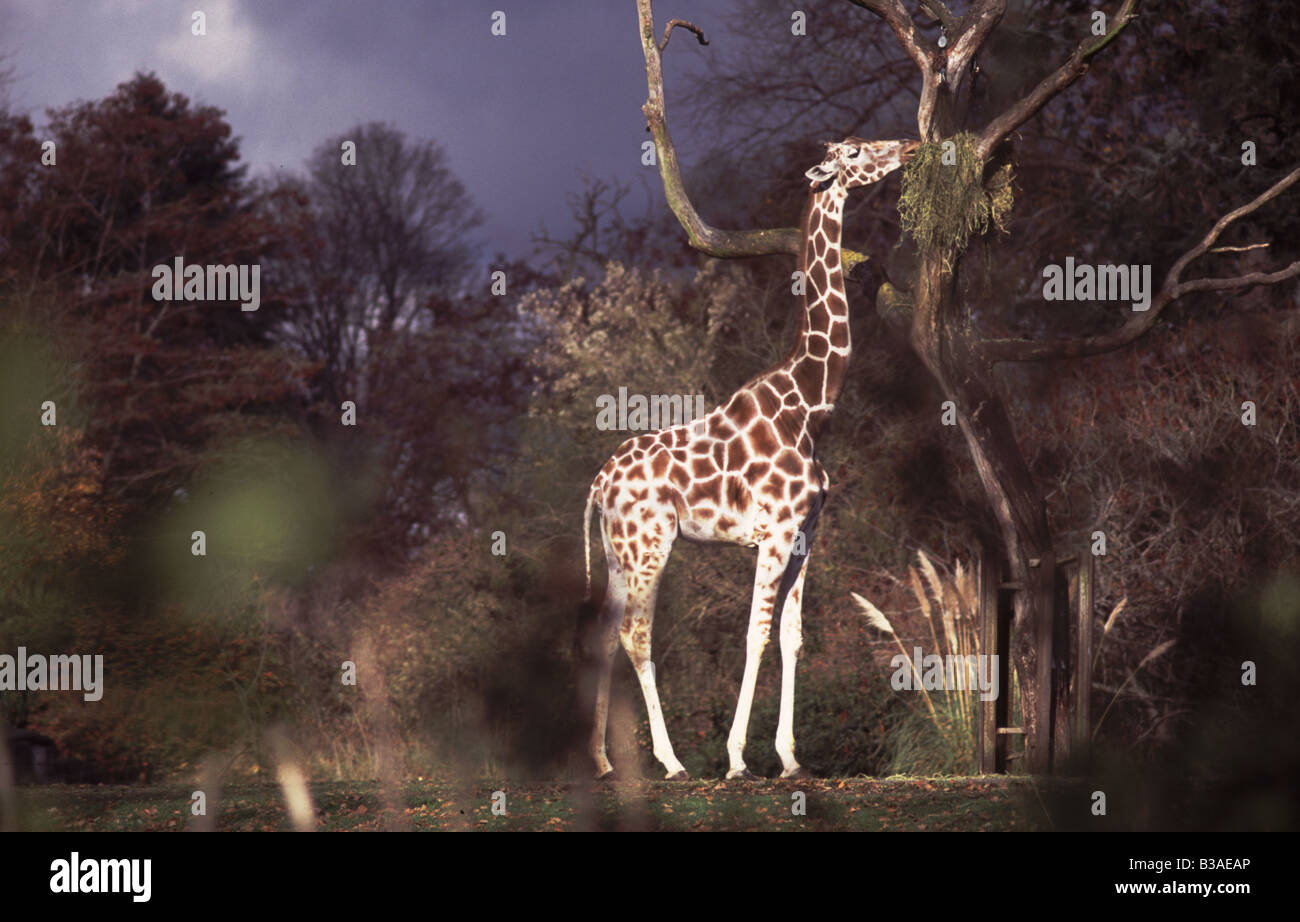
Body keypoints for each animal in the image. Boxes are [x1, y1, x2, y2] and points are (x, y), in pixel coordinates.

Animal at [583, 137, 920, 780]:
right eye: (855, 150)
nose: (911, 146)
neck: (810, 406)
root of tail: (598, 483)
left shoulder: (808, 532)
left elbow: (792, 637)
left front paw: (789, 757)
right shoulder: (775, 532)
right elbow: (756, 634)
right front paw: (739, 757)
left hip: (618, 554)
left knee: (607, 636)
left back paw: (603, 761)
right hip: (651, 546)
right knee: (638, 635)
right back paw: (672, 762)